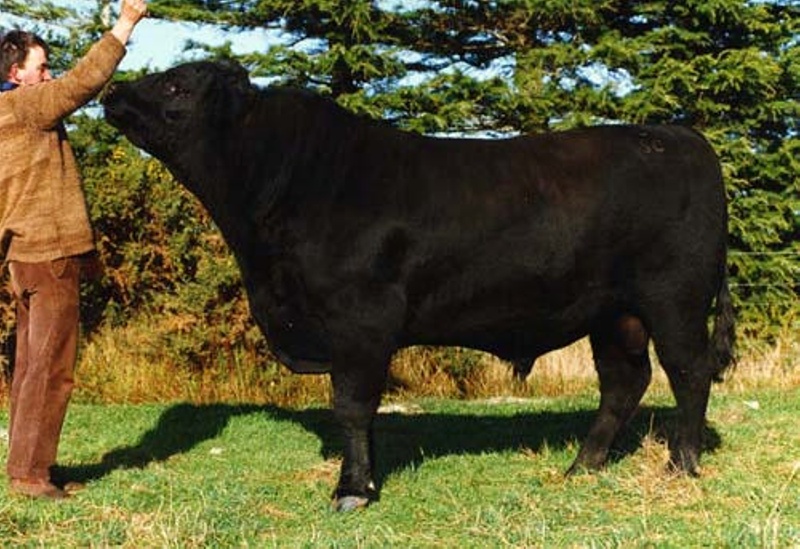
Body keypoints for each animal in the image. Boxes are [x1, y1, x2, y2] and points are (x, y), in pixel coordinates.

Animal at [102, 60, 735, 511]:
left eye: (176, 84)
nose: (112, 94)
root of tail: (681, 137)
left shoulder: (361, 318)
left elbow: (352, 405)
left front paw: (352, 490)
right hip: (612, 312)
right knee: (625, 381)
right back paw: (583, 467)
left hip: (674, 297)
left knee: (688, 372)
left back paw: (681, 465)